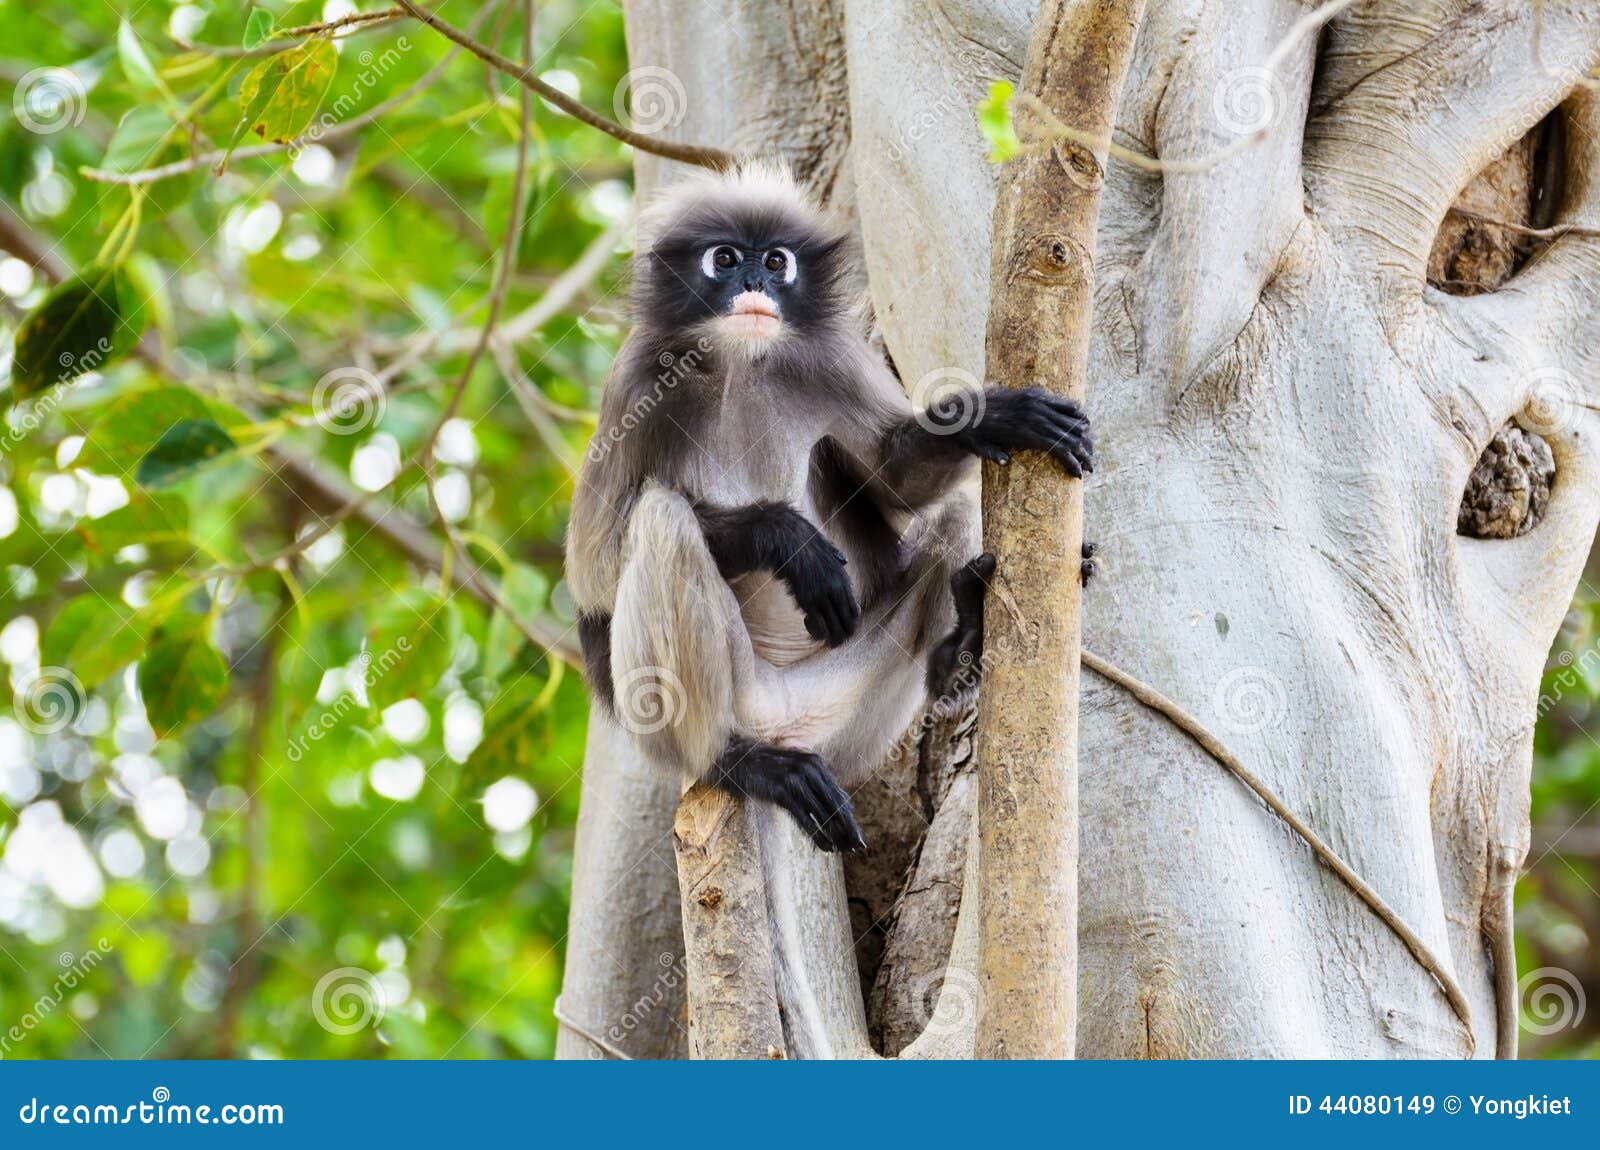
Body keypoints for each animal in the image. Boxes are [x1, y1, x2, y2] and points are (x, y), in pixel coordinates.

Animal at [565, 161, 1094, 853]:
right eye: (725, 258)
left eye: (777, 260)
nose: (756, 282)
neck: (742, 362)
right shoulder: (635, 378)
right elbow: (593, 572)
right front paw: (787, 541)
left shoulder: (831, 357)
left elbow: (899, 484)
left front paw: (995, 417)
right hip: (728, 703)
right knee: (662, 521)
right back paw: (744, 762)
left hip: (851, 723)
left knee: (951, 509)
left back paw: (961, 649)